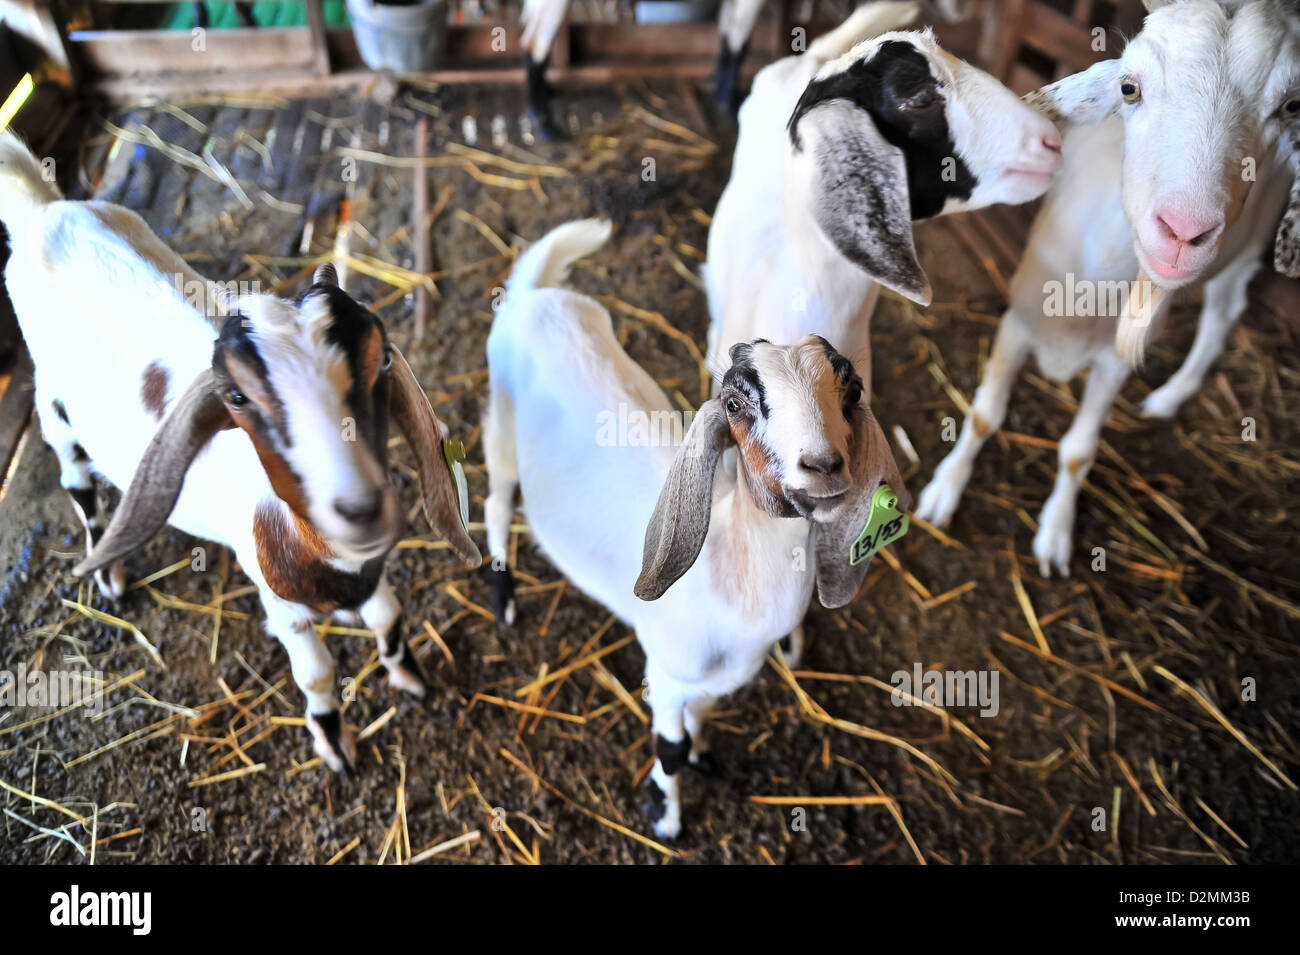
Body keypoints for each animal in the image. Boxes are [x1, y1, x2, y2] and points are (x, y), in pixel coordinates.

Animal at [0, 131, 481, 771]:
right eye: (236, 397)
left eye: (381, 358)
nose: (360, 510)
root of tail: (43, 209)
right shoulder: (282, 604)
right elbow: (317, 672)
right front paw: (335, 744)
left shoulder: (370, 570)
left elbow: (389, 614)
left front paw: (409, 675)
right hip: (52, 395)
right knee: (74, 472)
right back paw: (107, 567)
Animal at [483, 219, 906, 838]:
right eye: (735, 403)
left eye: (851, 392)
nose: (823, 467)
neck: (723, 579)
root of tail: (532, 295)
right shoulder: (663, 675)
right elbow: (671, 748)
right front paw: (667, 820)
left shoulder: (706, 685)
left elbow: (700, 719)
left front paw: (705, 755)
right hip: (500, 429)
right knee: (494, 502)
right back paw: (504, 595)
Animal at [916, 0, 1300, 577]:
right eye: (1129, 88)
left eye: (1290, 106)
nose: (1183, 232)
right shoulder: (1017, 321)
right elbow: (983, 416)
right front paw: (943, 493)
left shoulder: (1116, 362)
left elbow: (1078, 451)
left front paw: (1055, 534)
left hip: (1246, 247)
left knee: (1223, 313)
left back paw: (1169, 396)